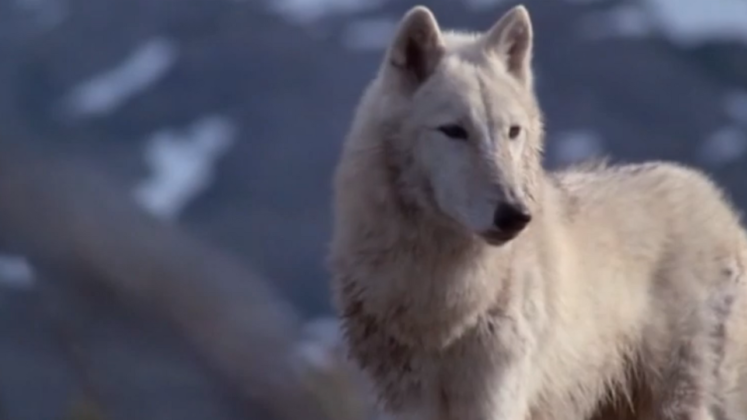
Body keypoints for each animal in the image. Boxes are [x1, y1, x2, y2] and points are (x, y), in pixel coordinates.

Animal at [327, 4, 747, 420]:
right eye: (454, 131)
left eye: (513, 131)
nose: (515, 215)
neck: (443, 303)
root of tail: (722, 209)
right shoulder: (410, 404)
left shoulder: (496, 398)